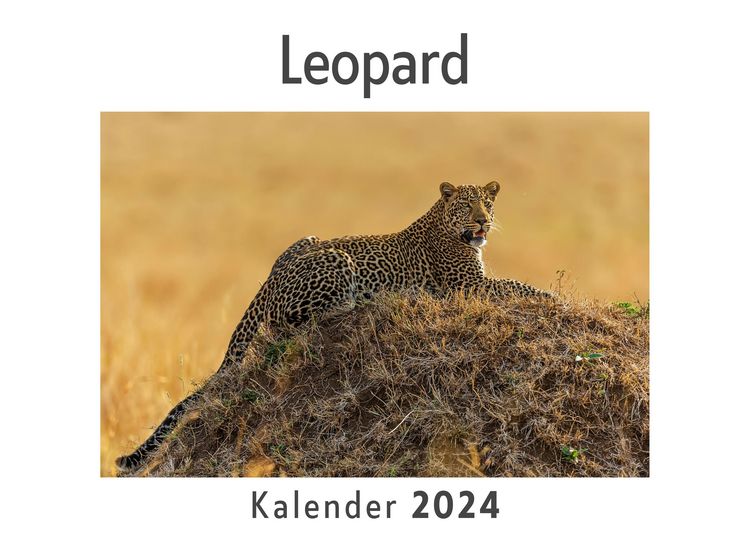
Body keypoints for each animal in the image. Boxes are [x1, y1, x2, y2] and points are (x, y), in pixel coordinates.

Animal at [115, 180, 552, 472]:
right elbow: (518, 285)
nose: (482, 222)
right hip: (337, 261)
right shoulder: (469, 286)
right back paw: (363, 301)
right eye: (465, 205)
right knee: (293, 321)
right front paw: (551, 295)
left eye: (487, 204)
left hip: (307, 238)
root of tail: (270, 281)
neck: (445, 226)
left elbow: (516, 284)